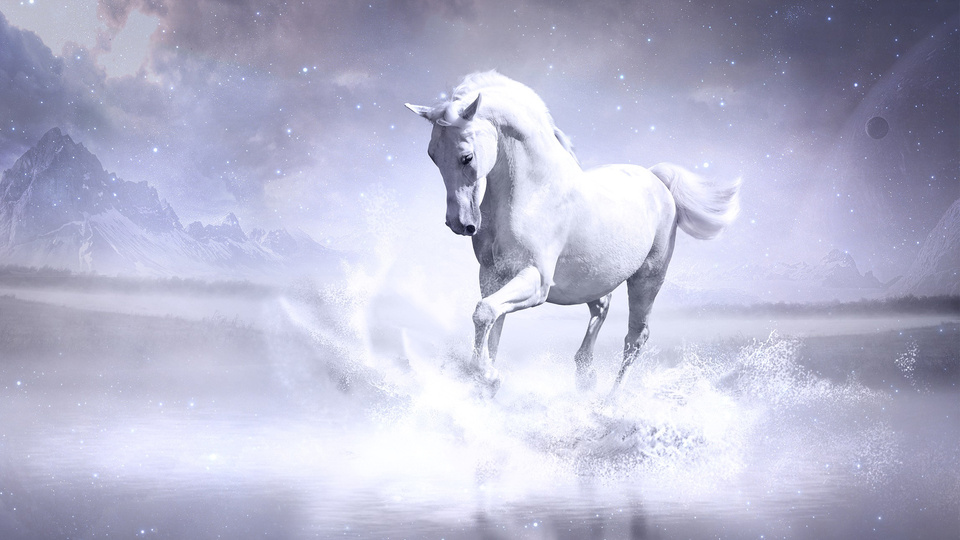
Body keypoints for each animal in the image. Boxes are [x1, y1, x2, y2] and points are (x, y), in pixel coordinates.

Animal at [406, 71, 740, 397]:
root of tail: (656, 179)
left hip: (648, 278)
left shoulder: (536, 280)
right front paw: (485, 382)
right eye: (432, 155)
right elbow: (492, 326)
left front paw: (488, 377)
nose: (459, 223)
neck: (534, 192)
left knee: (635, 338)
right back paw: (585, 375)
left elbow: (484, 313)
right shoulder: (492, 276)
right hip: (592, 278)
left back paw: (609, 401)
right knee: (602, 308)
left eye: (467, 157)